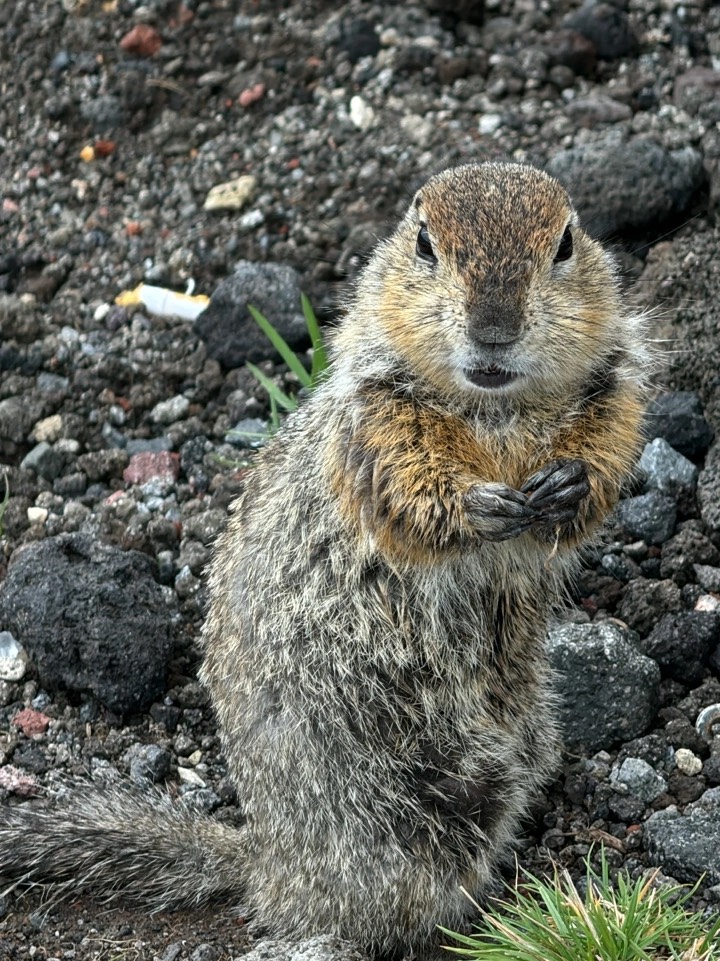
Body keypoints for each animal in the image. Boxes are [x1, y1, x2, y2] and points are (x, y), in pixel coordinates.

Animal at [0, 161, 648, 956]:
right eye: (425, 241)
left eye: (565, 243)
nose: (493, 327)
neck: (497, 412)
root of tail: (269, 862)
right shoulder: (373, 415)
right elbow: (404, 484)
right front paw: (477, 505)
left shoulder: (613, 383)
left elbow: (608, 443)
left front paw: (568, 485)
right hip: (417, 800)